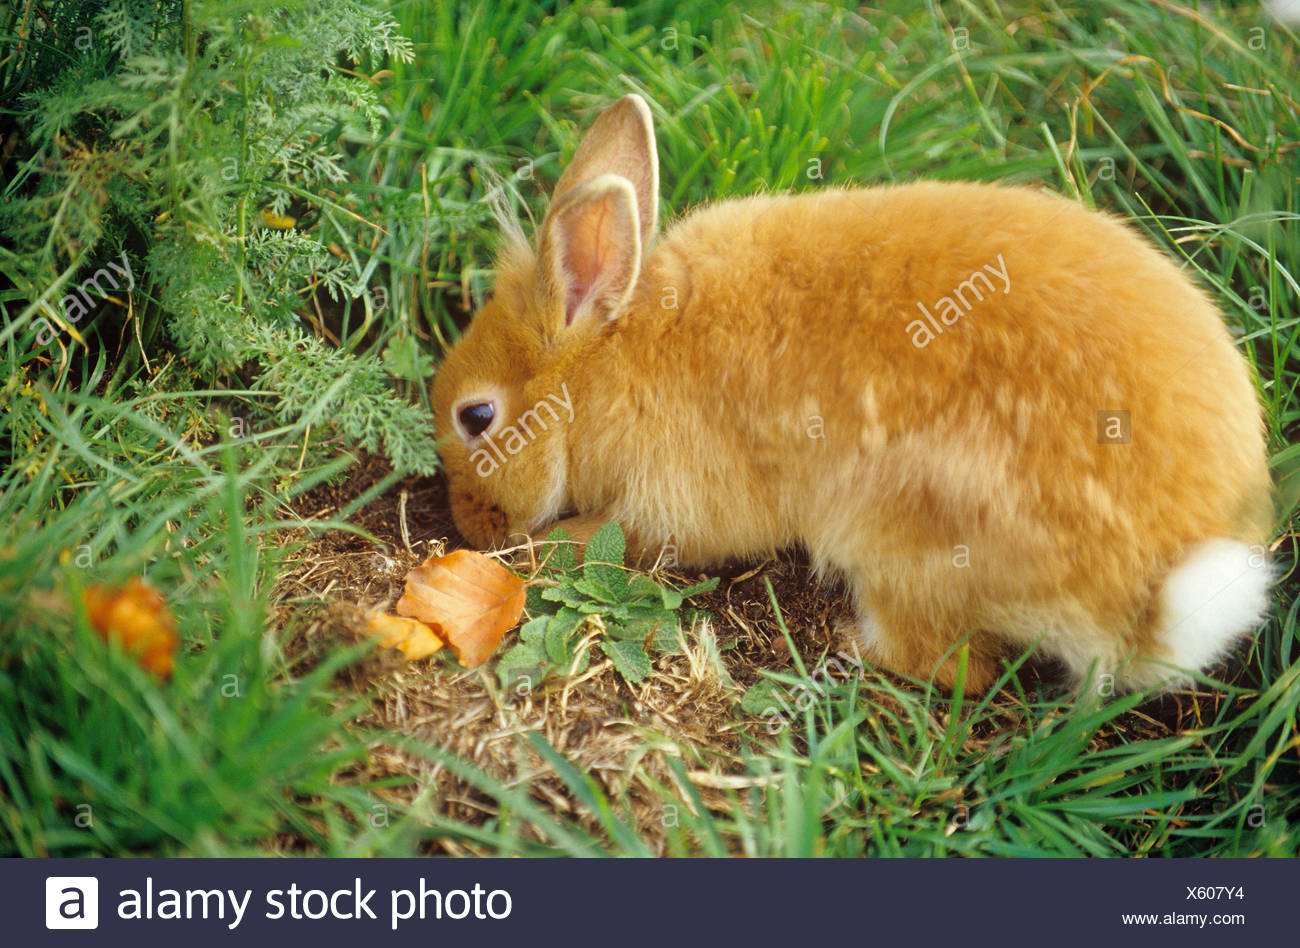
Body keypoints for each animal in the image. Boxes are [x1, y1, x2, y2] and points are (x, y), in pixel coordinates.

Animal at [431, 93, 1273, 693]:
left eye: (477, 417)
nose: (468, 525)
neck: (610, 357)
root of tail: (1146, 597)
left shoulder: (673, 499)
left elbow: (622, 536)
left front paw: (538, 551)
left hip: (904, 541)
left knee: (950, 666)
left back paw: (839, 649)